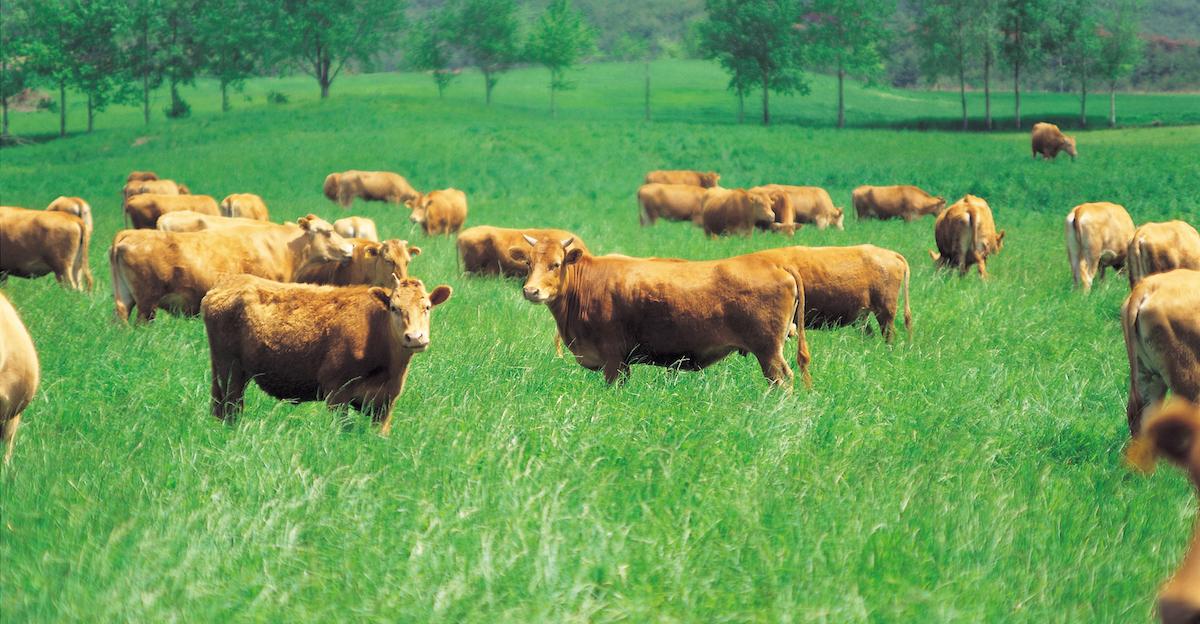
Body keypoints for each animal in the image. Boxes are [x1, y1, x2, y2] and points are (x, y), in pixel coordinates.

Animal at [109, 214, 354, 322]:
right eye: (328, 231)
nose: (351, 247)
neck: (283, 246)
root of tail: (128, 233)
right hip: (146, 302)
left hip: (126, 298)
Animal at [201, 274, 452, 434]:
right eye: (394, 308)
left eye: (427, 307)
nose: (415, 338)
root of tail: (223, 286)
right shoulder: (336, 392)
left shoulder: (385, 402)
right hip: (231, 371)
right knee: (231, 408)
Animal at [509, 236, 810, 387]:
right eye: (528, 263)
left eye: (556, 264)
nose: (531, 291)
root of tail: (775, 263)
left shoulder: (613, 358)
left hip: (769, 353)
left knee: (782, 381)